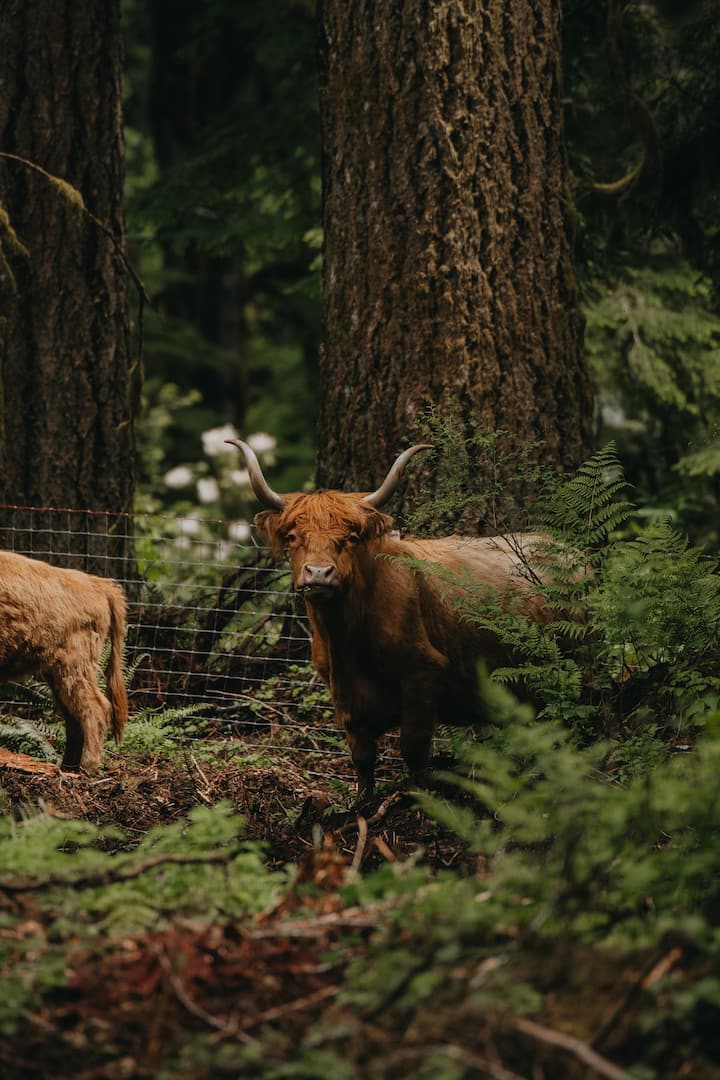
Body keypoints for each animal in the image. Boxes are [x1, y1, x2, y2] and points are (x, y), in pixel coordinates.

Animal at [0, 551, 128, 772]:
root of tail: (95, 583)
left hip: (73, 665)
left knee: (95, 707)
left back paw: (86, 767)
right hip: (57, 671)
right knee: (73, 717)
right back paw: (67, 767)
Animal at [227, 439, 548, 796]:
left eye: (351, 538)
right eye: (294, 536)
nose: (319, 573)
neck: (346, 639)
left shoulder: (422, 675)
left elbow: (413, 747)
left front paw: (418, 795)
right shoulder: (344, 696)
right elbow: (362, 755)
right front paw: (363, 800)